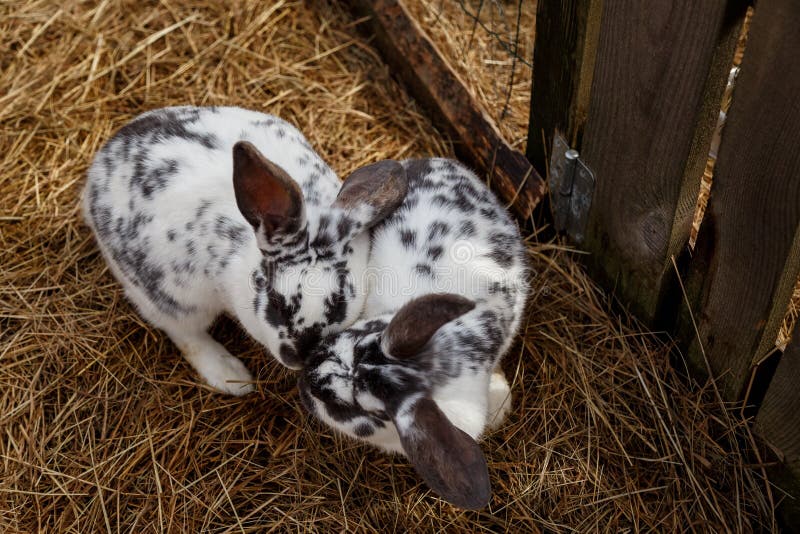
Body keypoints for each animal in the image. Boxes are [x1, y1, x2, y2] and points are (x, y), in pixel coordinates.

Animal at [82, 106, 408, 396]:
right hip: (170, 298)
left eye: (339, 301)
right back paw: (232, 377)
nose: (296, 356)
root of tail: (97, 170)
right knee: (184, 332)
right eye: (274, 300)